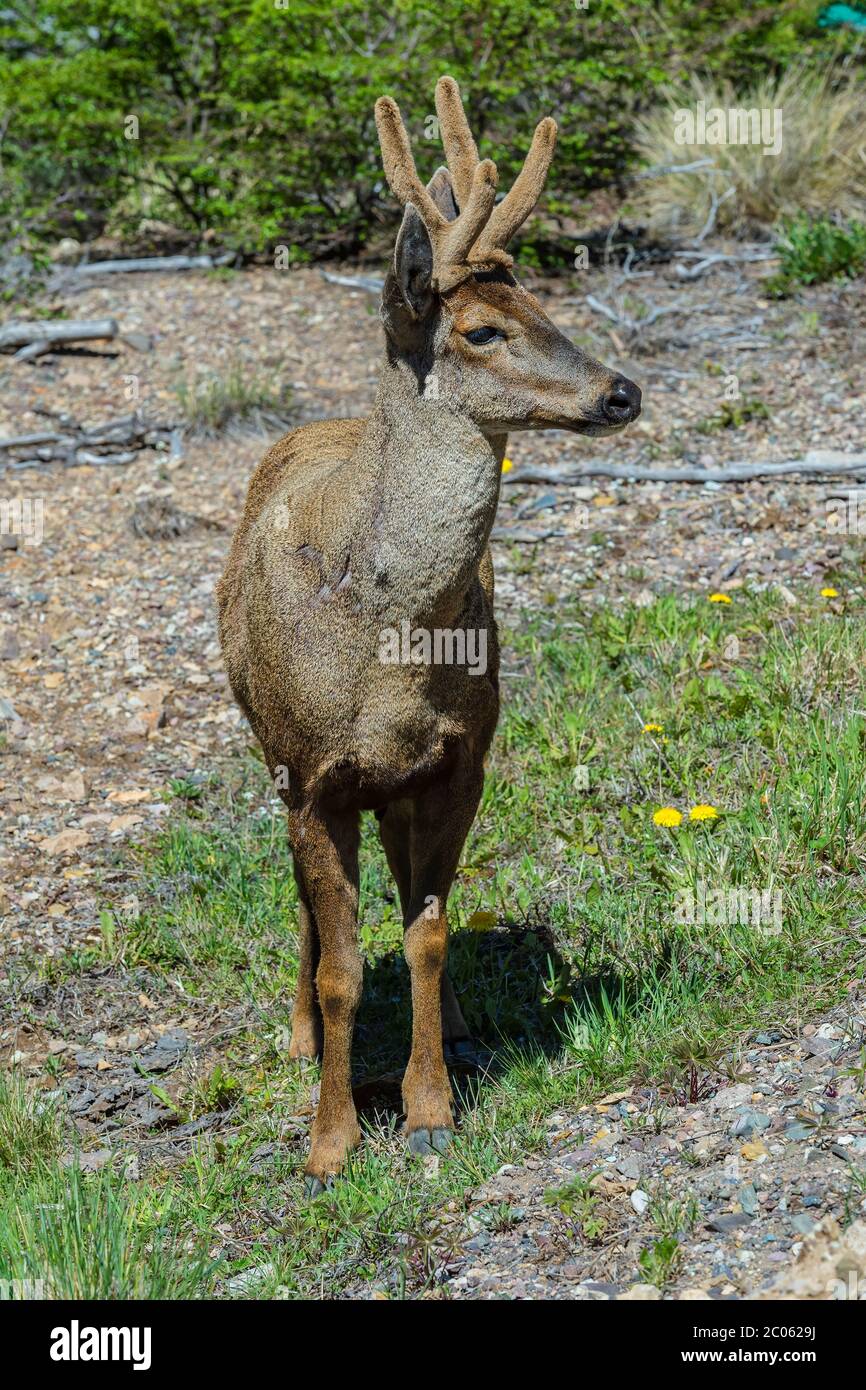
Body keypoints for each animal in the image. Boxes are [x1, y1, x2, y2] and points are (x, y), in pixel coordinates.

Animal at [217, 76, 640, 1193]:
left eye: (544, 303)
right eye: (483, 330)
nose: (620, 390)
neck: (388, 653)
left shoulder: (459, 759)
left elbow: (427, 936)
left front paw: (429, 1109)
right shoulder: (312, 775)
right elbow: (338, 964)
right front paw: (328, 1143)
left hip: (412, 786)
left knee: (416, 898)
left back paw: (448, 1031)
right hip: (273, 756)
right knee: (307, 911)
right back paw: (300, 1041)